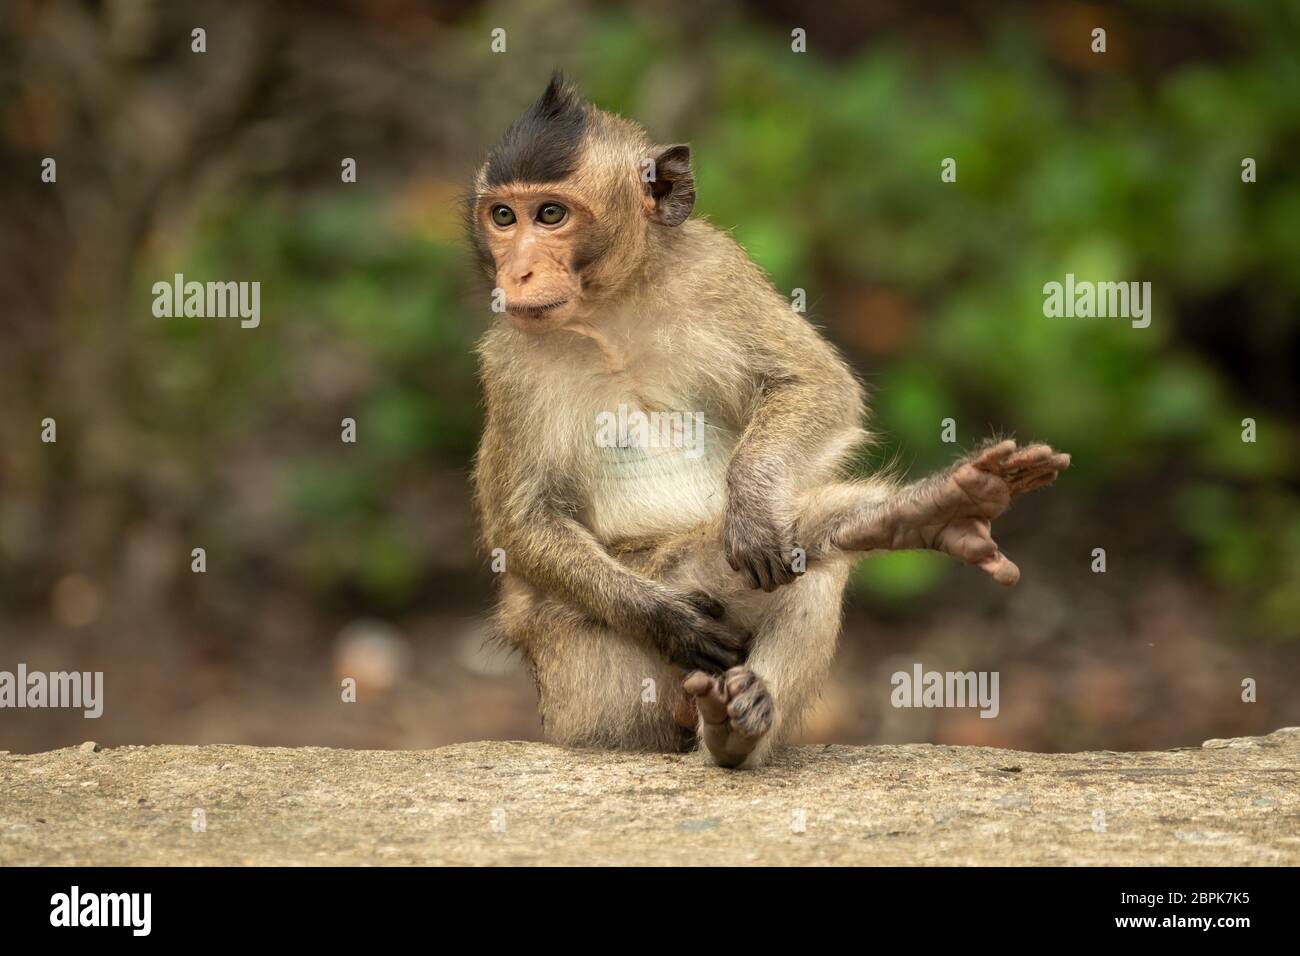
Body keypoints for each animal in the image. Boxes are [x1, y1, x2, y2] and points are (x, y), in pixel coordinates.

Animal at [466, 73, 1069, 769]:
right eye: (503, 217)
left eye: (550, 214)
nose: (518, 271)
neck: (609, 312)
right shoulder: (508, 363)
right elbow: (521, 523)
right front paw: (666, 618)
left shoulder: (715, 273)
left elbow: (817, 386)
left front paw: (752, 506)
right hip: (588, 681)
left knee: (805, 564)